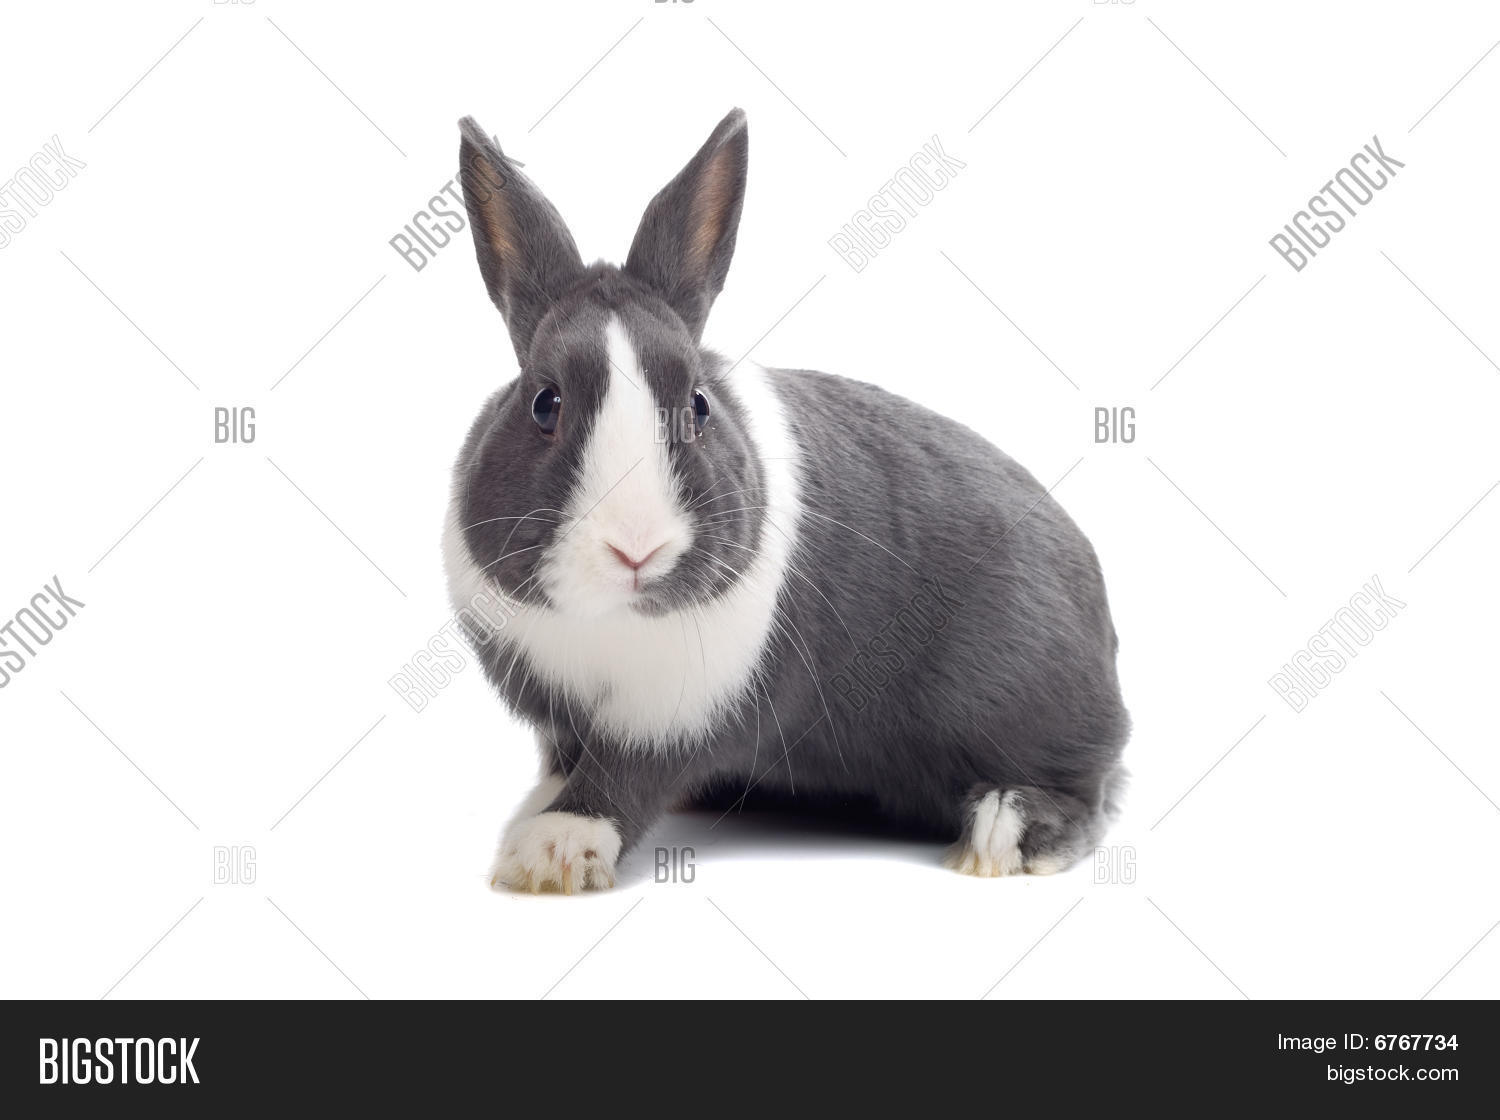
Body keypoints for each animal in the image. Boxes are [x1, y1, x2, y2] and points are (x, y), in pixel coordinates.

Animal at [443, 108, 1129, 893]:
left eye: (698, 405)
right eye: (544, 403)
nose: (636, 547)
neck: (610, 619)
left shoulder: (680, 713)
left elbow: (624, 780)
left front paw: (549, 852)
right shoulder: (564, 719)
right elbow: (564, 766)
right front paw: (529, 822)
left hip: (1039, 710)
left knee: (1083, 790)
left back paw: (998, 837)